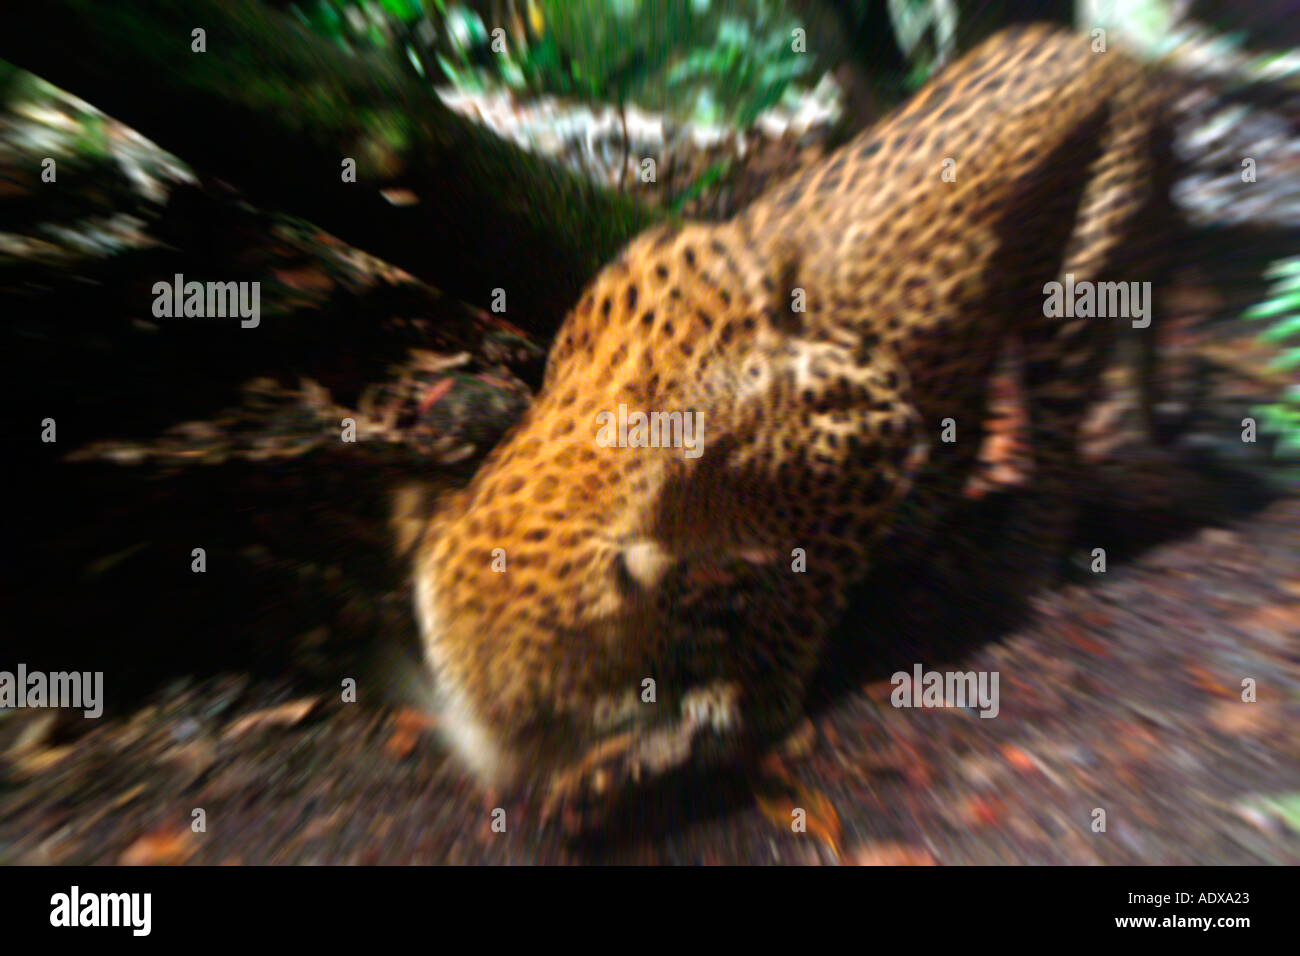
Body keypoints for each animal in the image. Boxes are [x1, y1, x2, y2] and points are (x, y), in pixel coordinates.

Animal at [406, 24, 1179, 803]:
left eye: (547, 715)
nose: (507, 786)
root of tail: (1098, 47)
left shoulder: (870, 420)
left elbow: (798, 596)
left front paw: (749, 701)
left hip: (1073, 296)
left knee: (1055, 453)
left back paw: (1013, 570)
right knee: (969, 431)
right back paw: (911, 540)